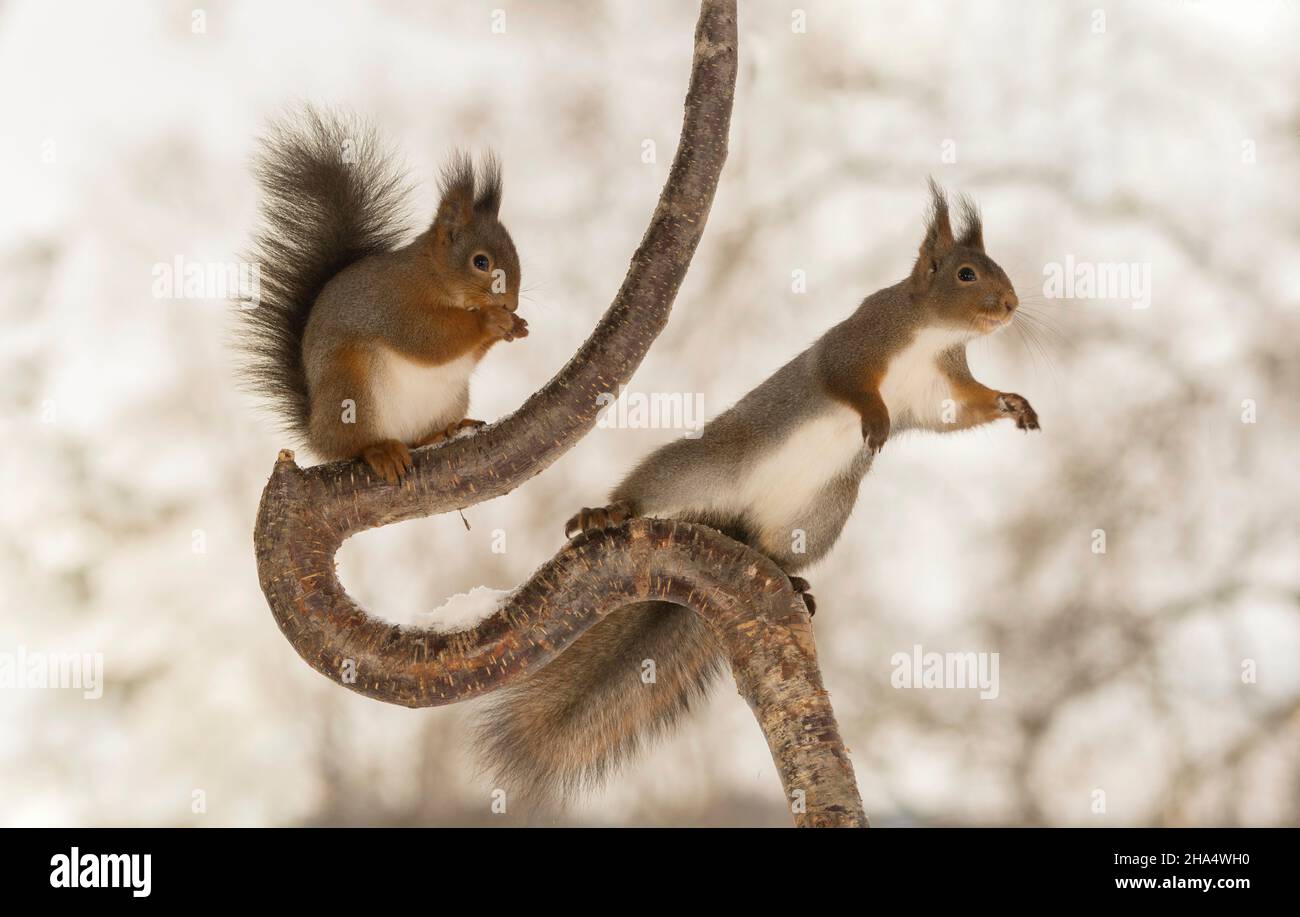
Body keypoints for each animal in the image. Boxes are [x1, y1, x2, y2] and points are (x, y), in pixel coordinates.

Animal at [237, 106, 526, 482]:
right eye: (481, 261)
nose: (511, 303)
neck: (433, 276)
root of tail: (316, 430)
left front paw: (515, 325)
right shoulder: (394, 304)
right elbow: (428, 339)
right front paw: (490, 320)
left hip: (446, 400)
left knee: (417, 439)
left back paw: (442, 432)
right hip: (351, 389)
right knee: (353, 446)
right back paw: (381, 450)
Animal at [474, 180, 1040, 805]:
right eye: (967, 273)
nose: (1011, 304)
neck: (932, 336)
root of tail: (737, 528)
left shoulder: (939, 388)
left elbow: (959, 413)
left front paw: (1014, 403)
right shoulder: (858, 341)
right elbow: (846, 381)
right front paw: (873, 419)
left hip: (820, 517)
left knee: (780, 551)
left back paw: (793, 579)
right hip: (702, 467)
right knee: (648, 491)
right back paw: (608, 511)